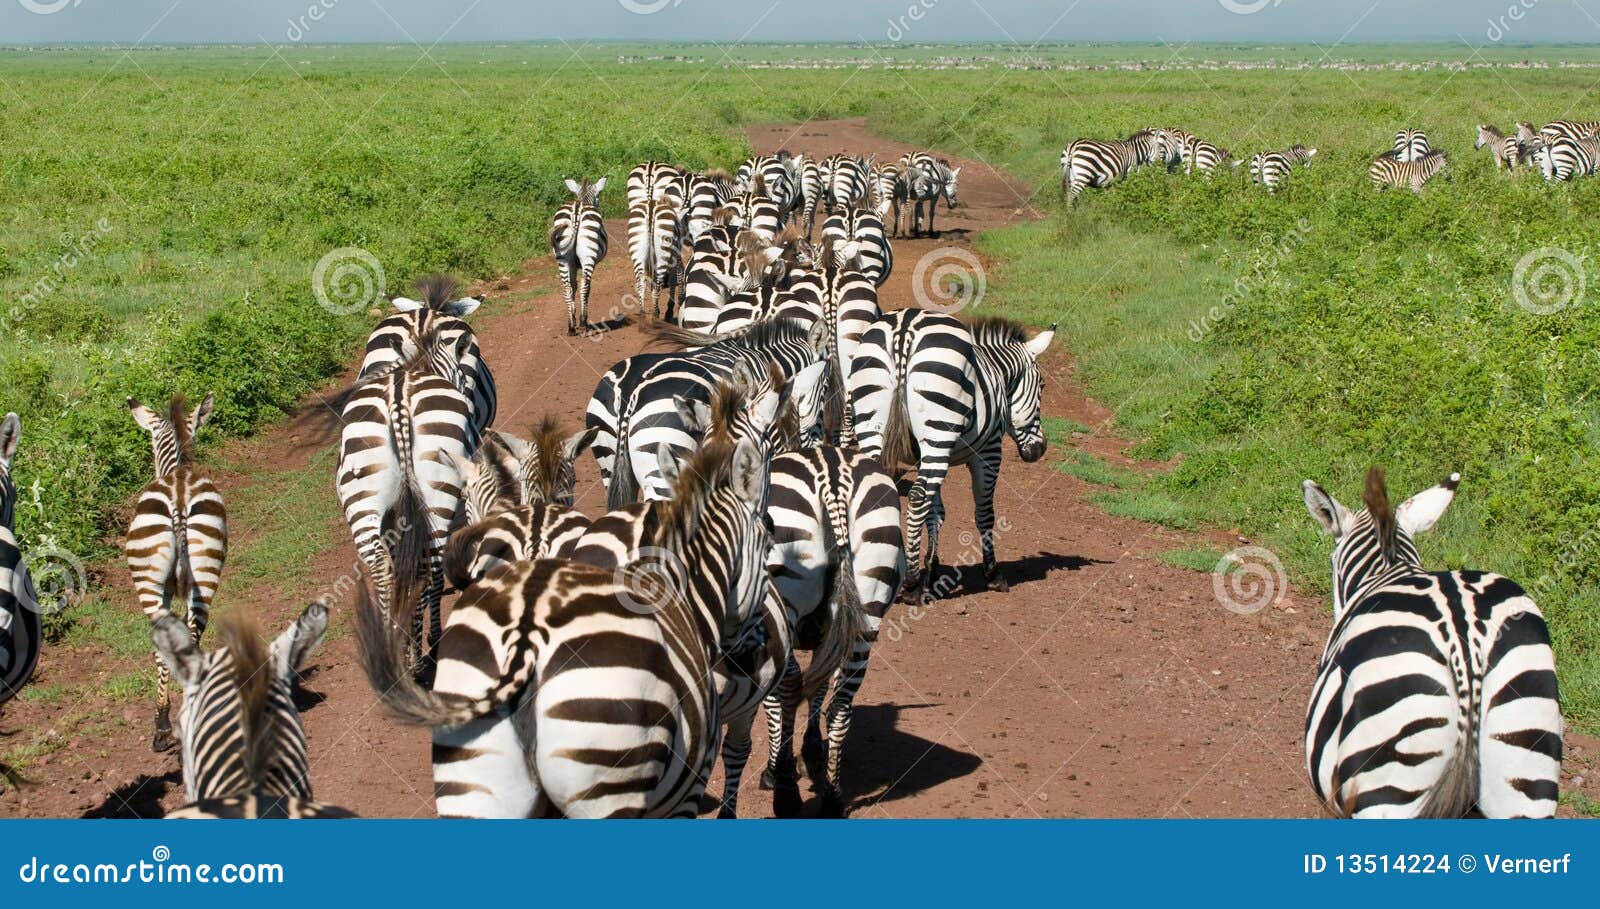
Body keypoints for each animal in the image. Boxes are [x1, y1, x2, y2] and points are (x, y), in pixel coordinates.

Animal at [125, 394, 228, 753]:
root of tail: (179, 498)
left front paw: (162, 721)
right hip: (204, 572)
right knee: (192, 633)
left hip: (152, 580)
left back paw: (164, 726)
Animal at [334, 327, 478, 675]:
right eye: (463, 379)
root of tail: (398, 399)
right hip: (438, 495)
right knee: (431, 567)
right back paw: (428, 651)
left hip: (363, 500)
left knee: (381, 567)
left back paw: (392, 650)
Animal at [550, 177, 608, 336]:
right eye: (598, 197)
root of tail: (577, 208)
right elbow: (582, 286)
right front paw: (580, 319)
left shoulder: (572, 264)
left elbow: (573, 285)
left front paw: (573, 315)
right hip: (588, 257)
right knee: (585, 286)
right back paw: (583, 324)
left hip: (562, 258)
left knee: (566, 288)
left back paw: (571, 326)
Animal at [626, 189, 683, 321]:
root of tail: (651, 208)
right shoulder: (676, 255)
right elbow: (677, 277)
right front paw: (672, 310)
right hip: (663, 249)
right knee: (658, 283)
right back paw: (655, 314)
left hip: (637, 247)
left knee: (641, 282)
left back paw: (643, 314)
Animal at [850, 312, 1053, 598]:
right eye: (1042, 386)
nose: (1040, 450)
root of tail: (904, 330)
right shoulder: (989, 451)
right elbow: (984, 512)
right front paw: (993, 574)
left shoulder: (924, 455)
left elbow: (936, 513)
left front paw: (932, 570)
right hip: (938, 430)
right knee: (918, 497)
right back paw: (910, 583)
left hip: (873, 419)